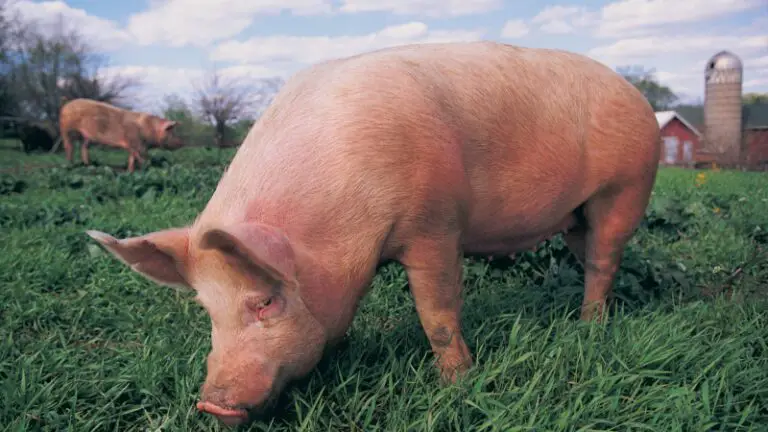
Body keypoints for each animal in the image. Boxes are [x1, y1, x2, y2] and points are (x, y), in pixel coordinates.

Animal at [85, 41, 661, 426]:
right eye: (208, 310)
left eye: (265, 301)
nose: (210, 402)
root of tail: (635, 93)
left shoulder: (434, 225)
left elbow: (437, 315)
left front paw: (457, 384)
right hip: (577, 215)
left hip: (625, 188)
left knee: (604, 260)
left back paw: (590, 328)